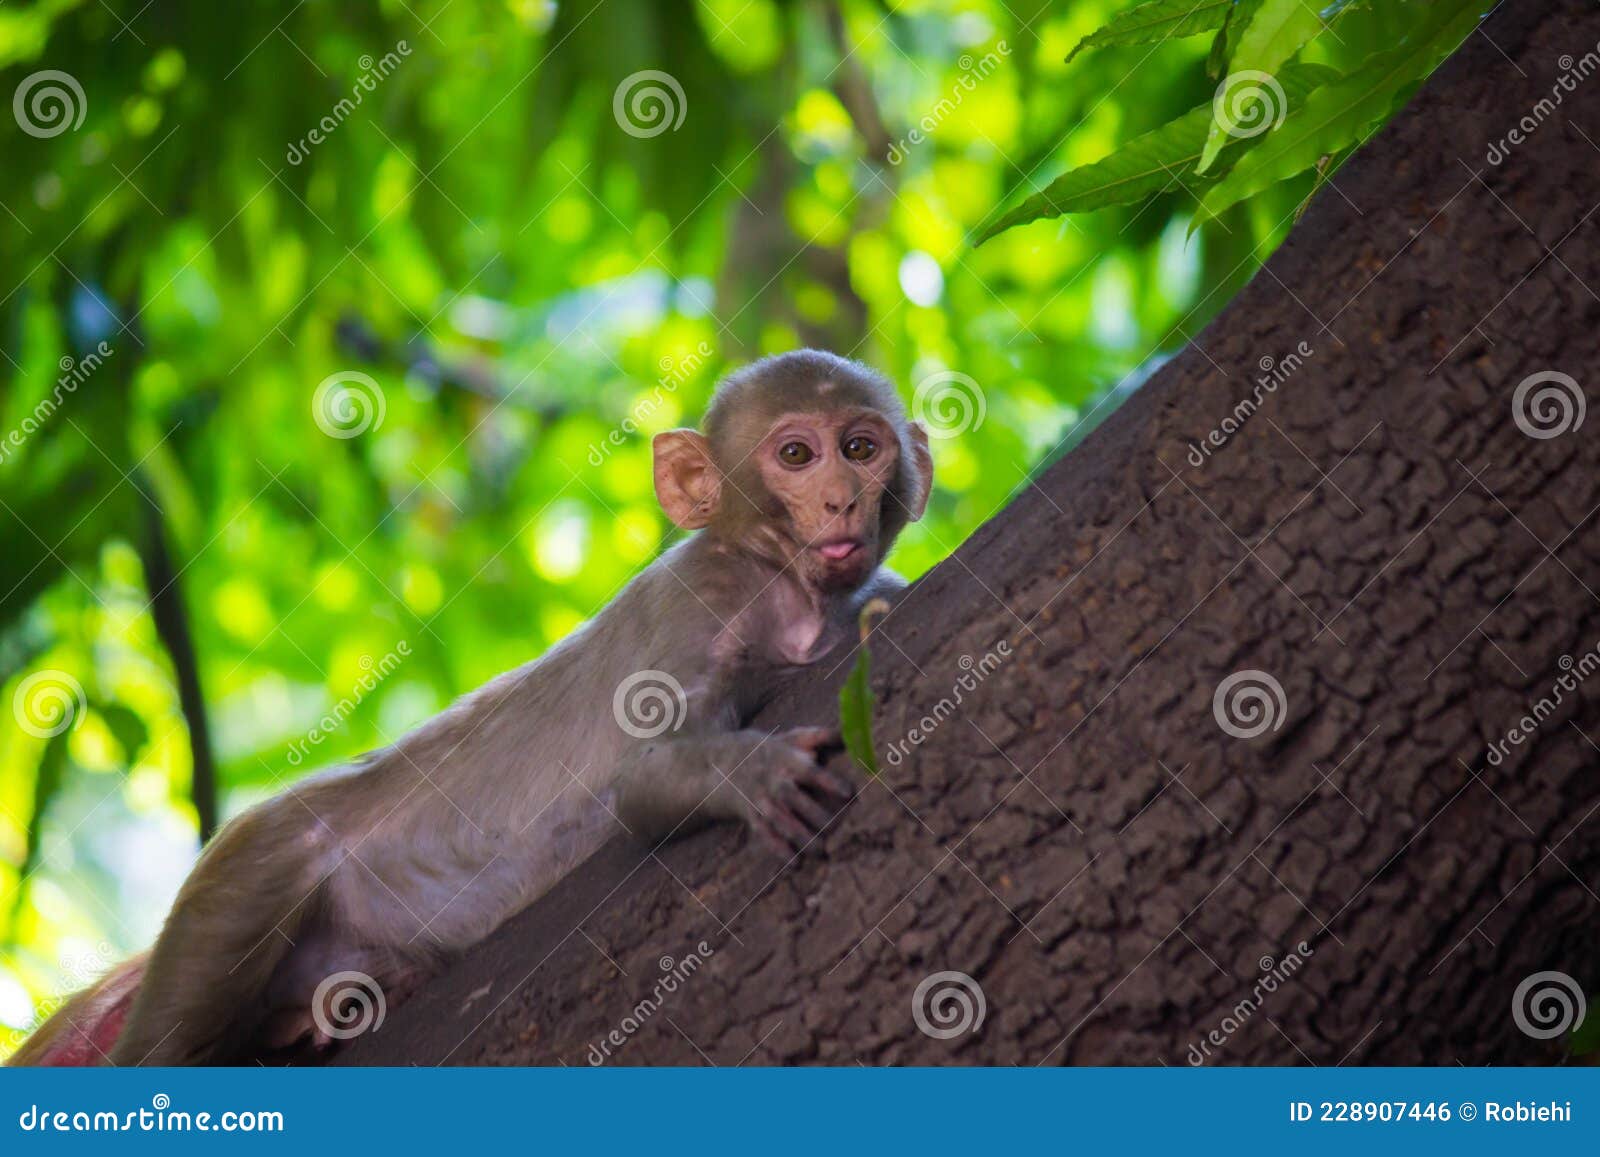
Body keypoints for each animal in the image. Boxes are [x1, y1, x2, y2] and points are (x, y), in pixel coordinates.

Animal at [9, 348, 934, 1067]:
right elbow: (640, 778)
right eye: (797, 454)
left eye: (860, 447)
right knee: (163, 1040)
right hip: (242, 878)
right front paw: (756, 772)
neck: (784, 588)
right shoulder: (697, 598)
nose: (842, 498)